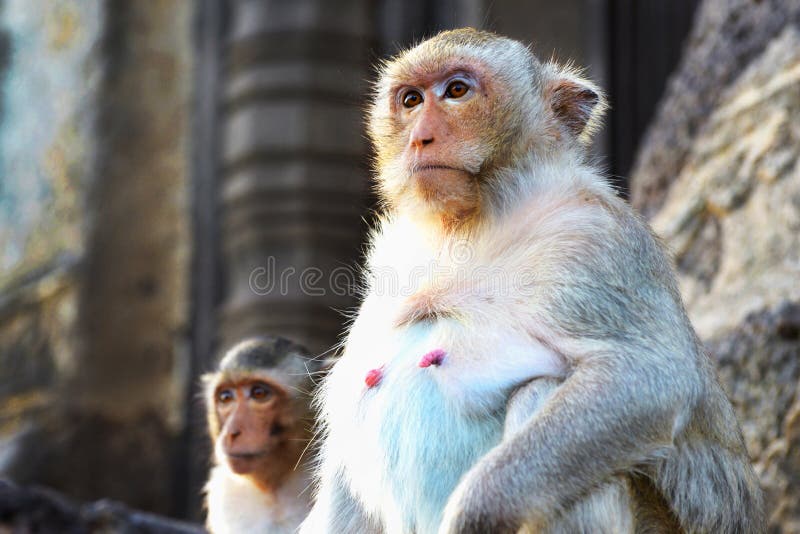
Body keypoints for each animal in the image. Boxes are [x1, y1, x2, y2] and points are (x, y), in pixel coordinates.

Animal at [300, 28, 765, 534]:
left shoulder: (593, 244)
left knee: (542, 392)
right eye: (410, 99)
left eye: (457, 91)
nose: (420, 138)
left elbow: (648, 377)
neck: (469, 227)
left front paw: (472, 514)